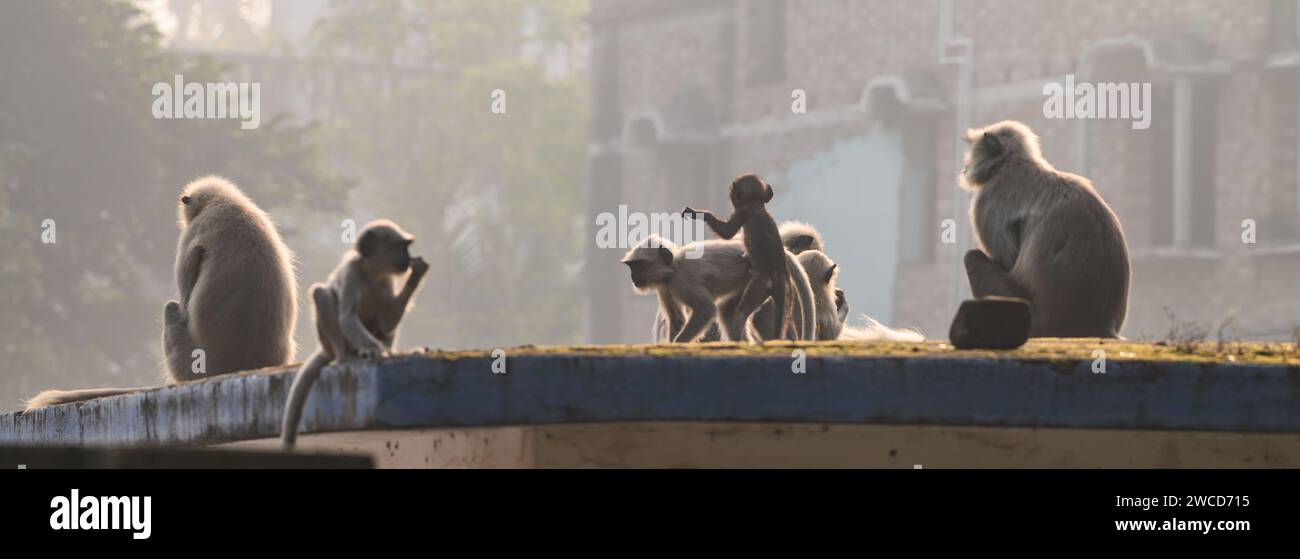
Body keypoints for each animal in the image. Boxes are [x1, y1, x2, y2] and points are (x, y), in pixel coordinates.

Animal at [281, 219, 427, 449]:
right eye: (401, 247)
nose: (407, 259)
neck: (370, 272)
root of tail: (327, 349)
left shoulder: (385, 279)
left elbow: (386, 323)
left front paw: (416, 274)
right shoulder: (352, 272)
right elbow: (347, 317)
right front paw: (374, 351)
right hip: (329, 342)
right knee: (322, 293)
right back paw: (346, 357)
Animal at [684, 173, 813, 341]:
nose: (731, 193)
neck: (756, 205)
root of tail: (777, 271)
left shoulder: (742, 212)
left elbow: (727, 233)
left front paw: (700, 214)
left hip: (759, 284)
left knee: (741, 312)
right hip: (785, 290)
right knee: (782, 316)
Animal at [959, 120, 1130, 338]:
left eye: (973, 152)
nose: (965, 167)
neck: (1013, 162)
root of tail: (1099, 326)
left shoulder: (988, 197)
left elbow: (1008, 259)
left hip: (1028, 317)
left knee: (971, 257)